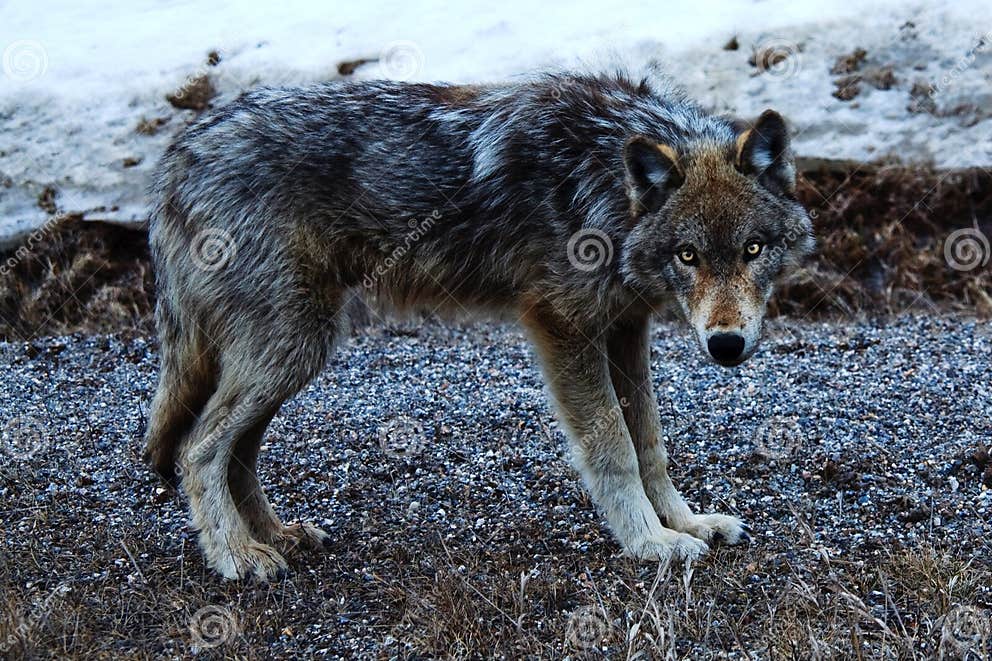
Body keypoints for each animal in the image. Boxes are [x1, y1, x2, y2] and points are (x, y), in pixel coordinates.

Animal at [143, 72, 813, 581]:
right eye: (689, 255)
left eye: (753, 249)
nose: (726, 345)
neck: (602, 181)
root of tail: (179, 155)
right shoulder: (564, 325)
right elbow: (615, 450)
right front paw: (650, 543)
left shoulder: (625, 329)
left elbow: (650, 445)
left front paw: (686, 523)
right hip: (292, 349)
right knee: (197, 449)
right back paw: (236, 557)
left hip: (289, 358)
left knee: (236, 453)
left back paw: (277, 535)